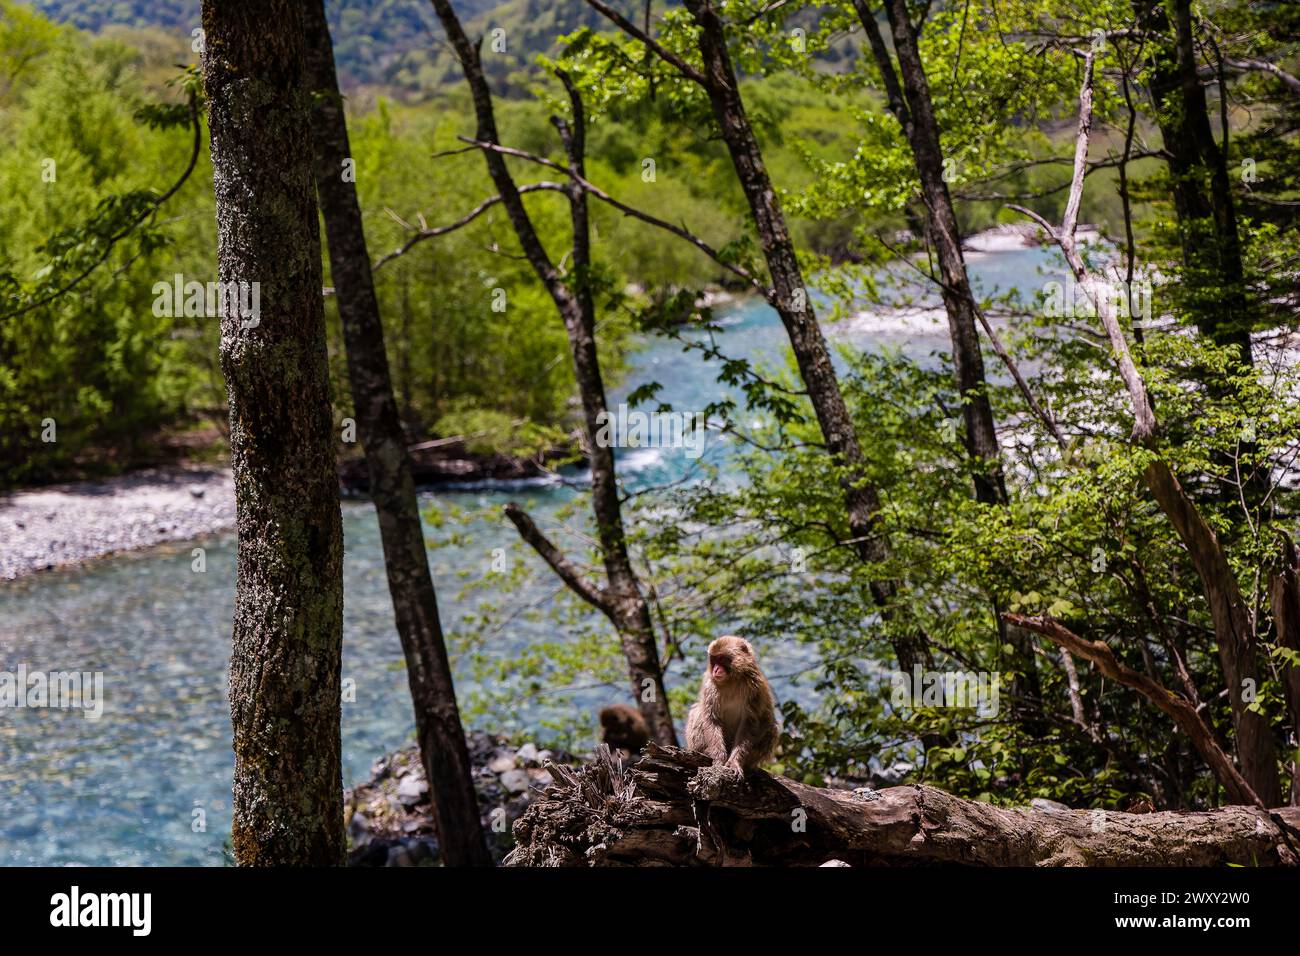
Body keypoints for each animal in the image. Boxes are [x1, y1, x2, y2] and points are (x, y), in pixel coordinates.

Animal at [685, 635, 778, 774]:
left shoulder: (754, 687)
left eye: (721, 658)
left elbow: (750, 722)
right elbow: (711, 718)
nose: (715, 669)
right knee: (697, 711)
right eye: (713, 660)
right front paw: (719, 758)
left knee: (770, 726)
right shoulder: (709, 685)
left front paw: (735, 761)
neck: (731, 680)